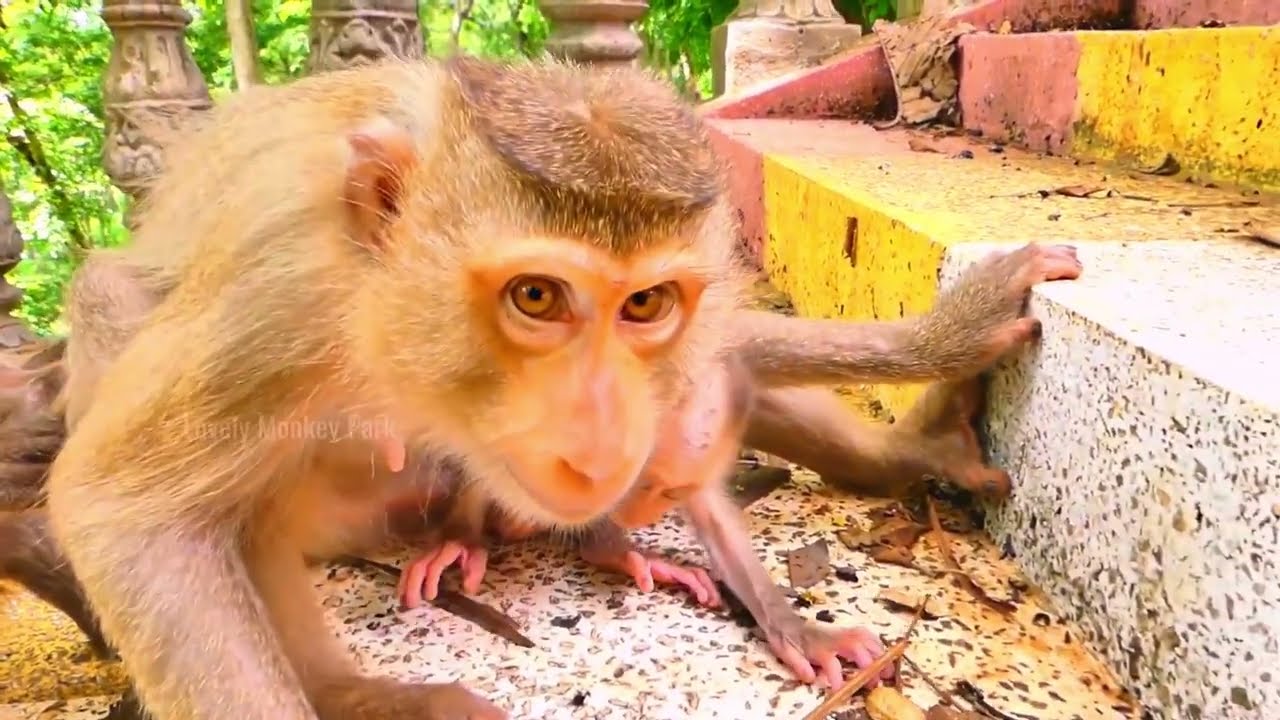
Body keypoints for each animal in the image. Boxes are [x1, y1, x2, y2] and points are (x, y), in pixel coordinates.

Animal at [43, 56, 1081, 720]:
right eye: (536, 296)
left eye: (645, 302)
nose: (602, 438)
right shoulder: (280, 293)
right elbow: (124, 508)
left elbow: (736, 359)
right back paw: (361, 689)